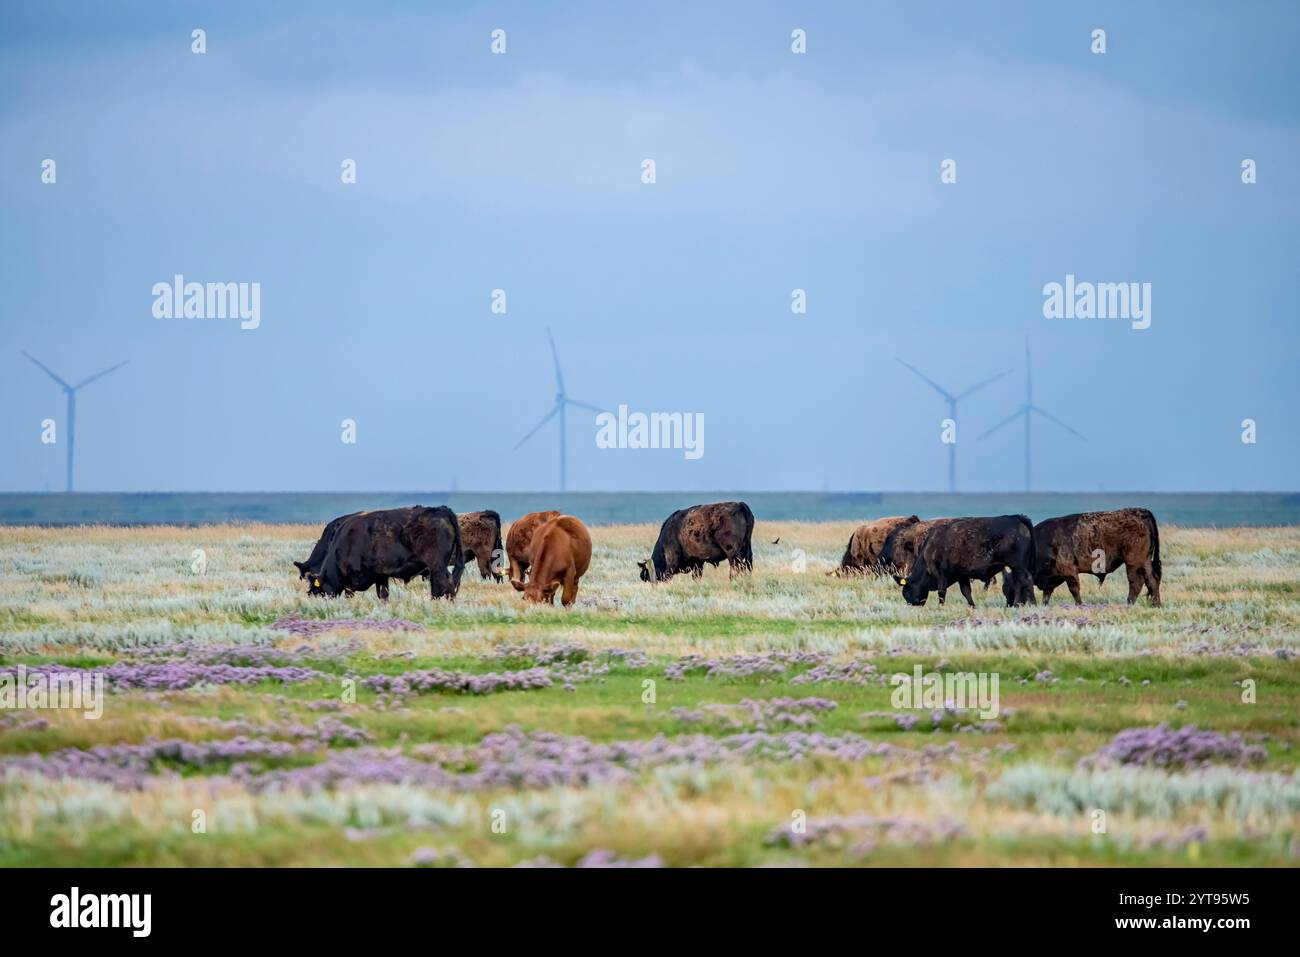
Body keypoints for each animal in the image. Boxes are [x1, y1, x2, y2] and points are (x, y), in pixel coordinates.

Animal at [310, 506, 464, 601]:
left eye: (316, 591)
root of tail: (441, 509)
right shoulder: (381, 576)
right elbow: (383, 594)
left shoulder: (351, 580)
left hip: (436, 564)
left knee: (444, 583)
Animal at [900, 515, 1036, 608]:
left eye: (906, 591)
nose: (911, 605)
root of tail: (1017, 518)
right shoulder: (962, 576)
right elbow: (966, 592)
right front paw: (972, 606)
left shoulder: (940, 574)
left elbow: (942, 592)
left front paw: (940, 607)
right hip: (1016, 567)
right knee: (1018, 583)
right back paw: (1018, 604)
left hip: (1017, 566)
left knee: (1026, 580)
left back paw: (1031, 603)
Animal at [1027, 508, 1162, 606]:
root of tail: (1141, 512)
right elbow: (1047, 593)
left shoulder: (1069, 570)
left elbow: (1074, 589)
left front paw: (1080, 604)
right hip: (1145, 561)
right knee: (1152, 580)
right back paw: (1156, 605)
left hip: (1133, 563)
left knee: (1136, 582)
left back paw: (1129, 604)